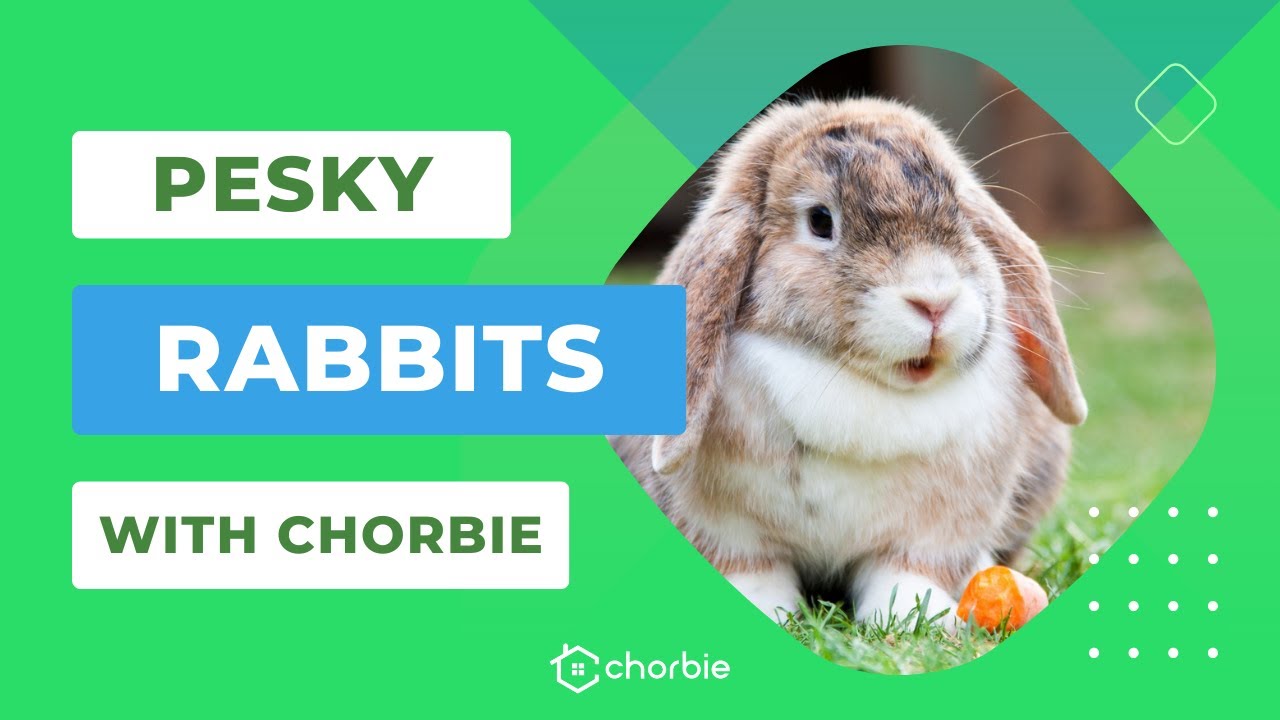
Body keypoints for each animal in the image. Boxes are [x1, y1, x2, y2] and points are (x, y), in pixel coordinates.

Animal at [611, 97, 1086, 626]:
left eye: (960, 211)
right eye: (821, 220)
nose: (934, 301)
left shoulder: (931, 533)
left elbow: (906, 573)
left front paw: (917, 617)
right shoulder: (729, 531)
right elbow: (753, 570)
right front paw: (763, 608)